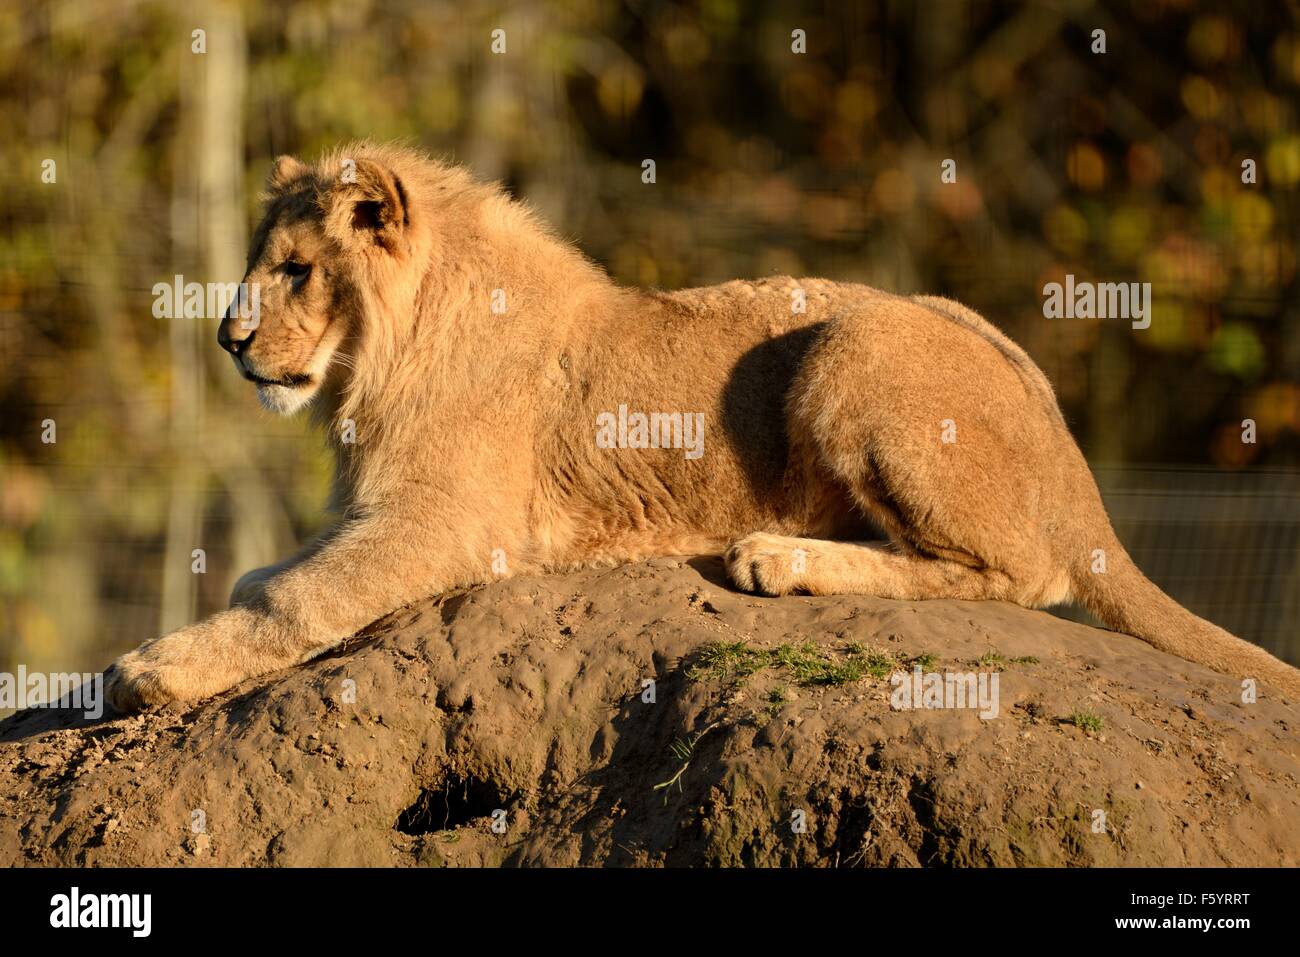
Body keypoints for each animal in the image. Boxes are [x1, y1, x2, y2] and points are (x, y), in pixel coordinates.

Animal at [104, 142, 1300, 710]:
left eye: (297, 269)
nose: (226, 337)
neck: (376, 364)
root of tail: (1082, 482)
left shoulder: (448, 525)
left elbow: (298, 601)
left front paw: (151, 669)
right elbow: (272, 573)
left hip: (853, 346)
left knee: (1014, 577)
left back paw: (777, 557)